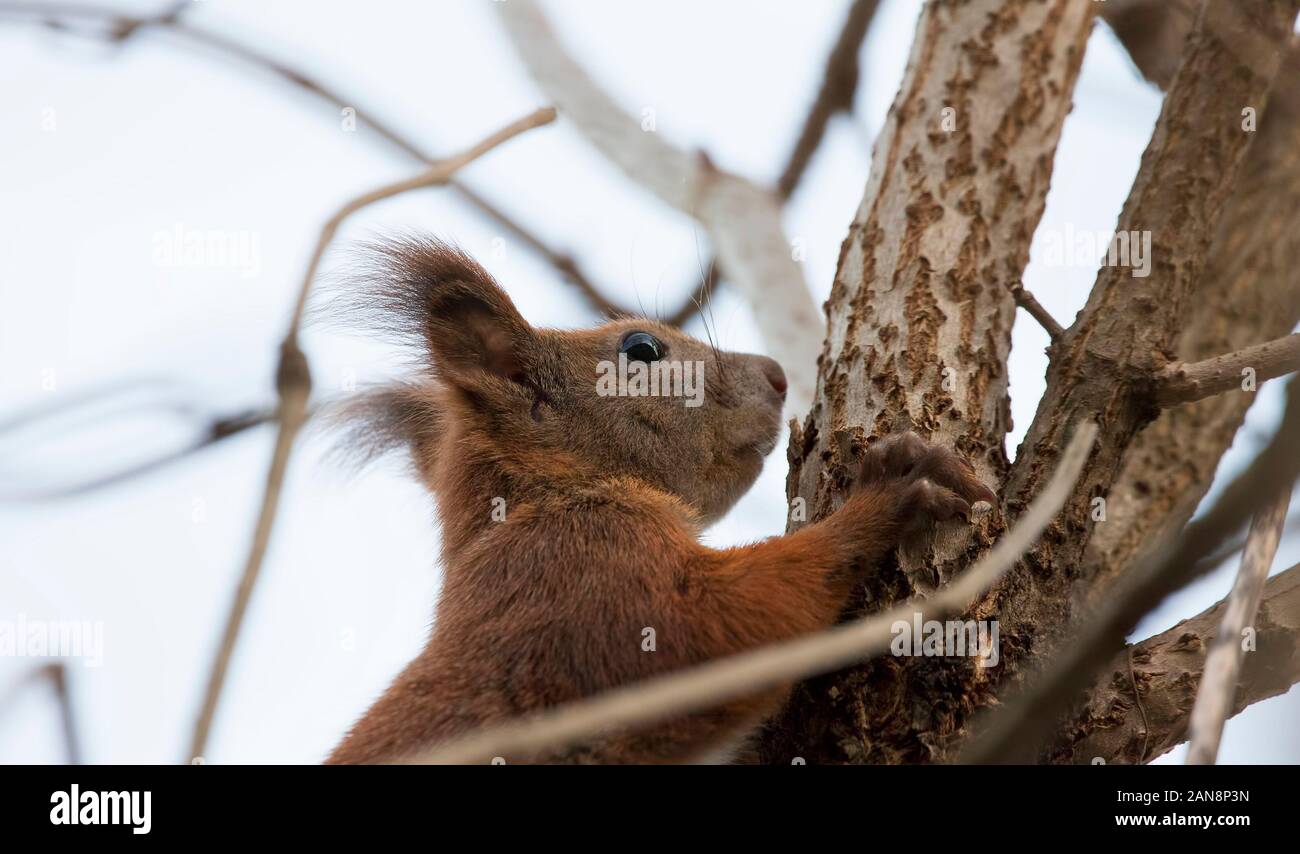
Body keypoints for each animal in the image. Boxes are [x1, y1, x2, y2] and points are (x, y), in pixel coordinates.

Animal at [325, 237, 998, 764]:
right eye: (641, 350)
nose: (778, 374)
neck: (545, 498)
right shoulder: (582, 575)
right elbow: (713, 626)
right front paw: (887, 492)